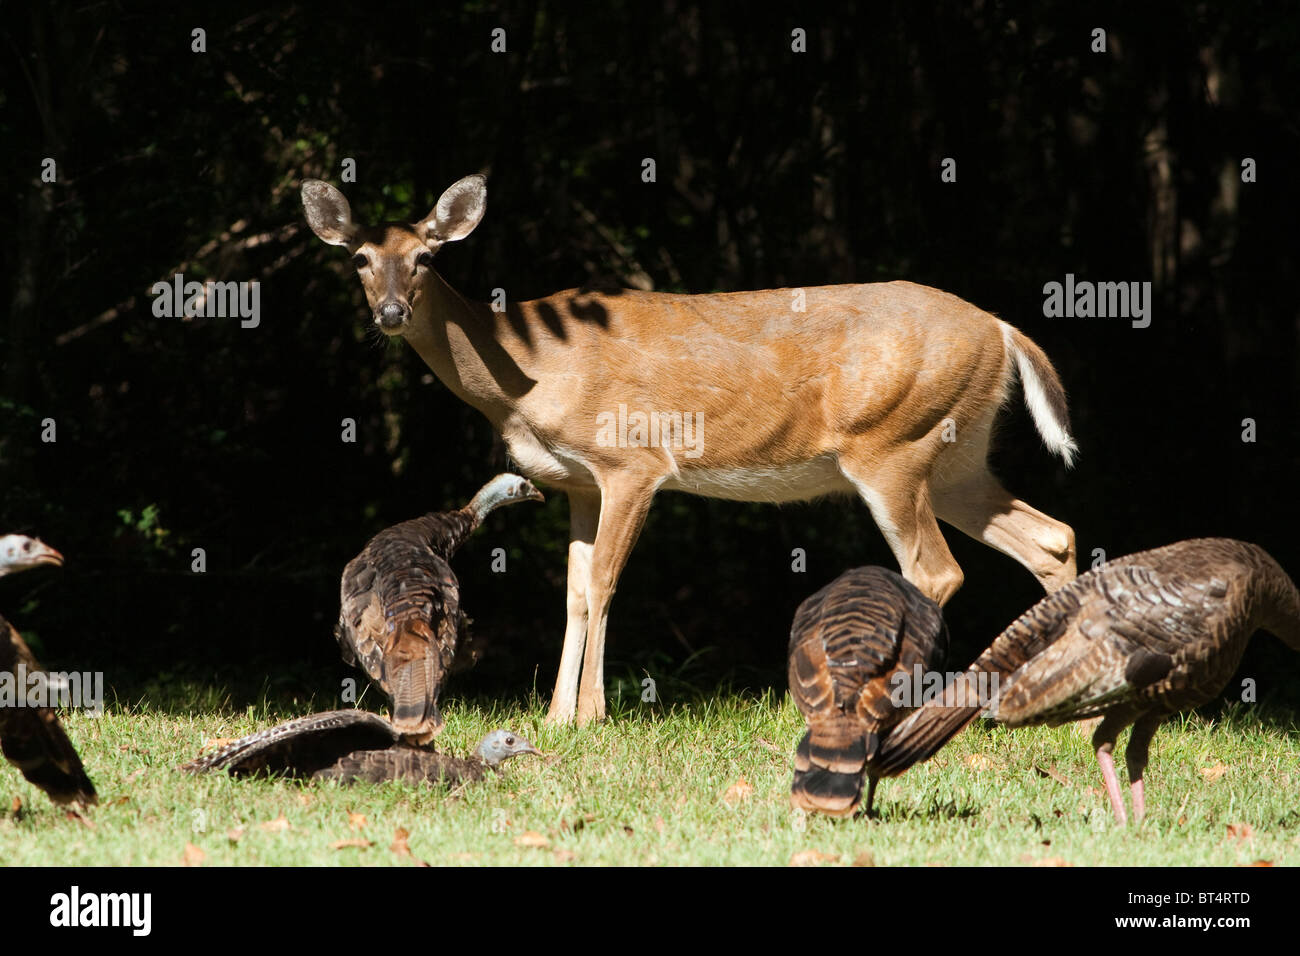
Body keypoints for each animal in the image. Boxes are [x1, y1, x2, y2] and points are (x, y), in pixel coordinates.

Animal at [302, 173, 1079, 725]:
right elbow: (574, 591)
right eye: (361, 258)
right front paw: (554, 717)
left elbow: (605, 582)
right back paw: (1062, 706)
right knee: (1053, 536)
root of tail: (1005, 330)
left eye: (426, 256)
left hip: (892, 444)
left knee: (936, 570)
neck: (529, 370)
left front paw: (592, 716)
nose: (391, 312)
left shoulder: (633, 462)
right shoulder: (575, 482)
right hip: (957, 459)